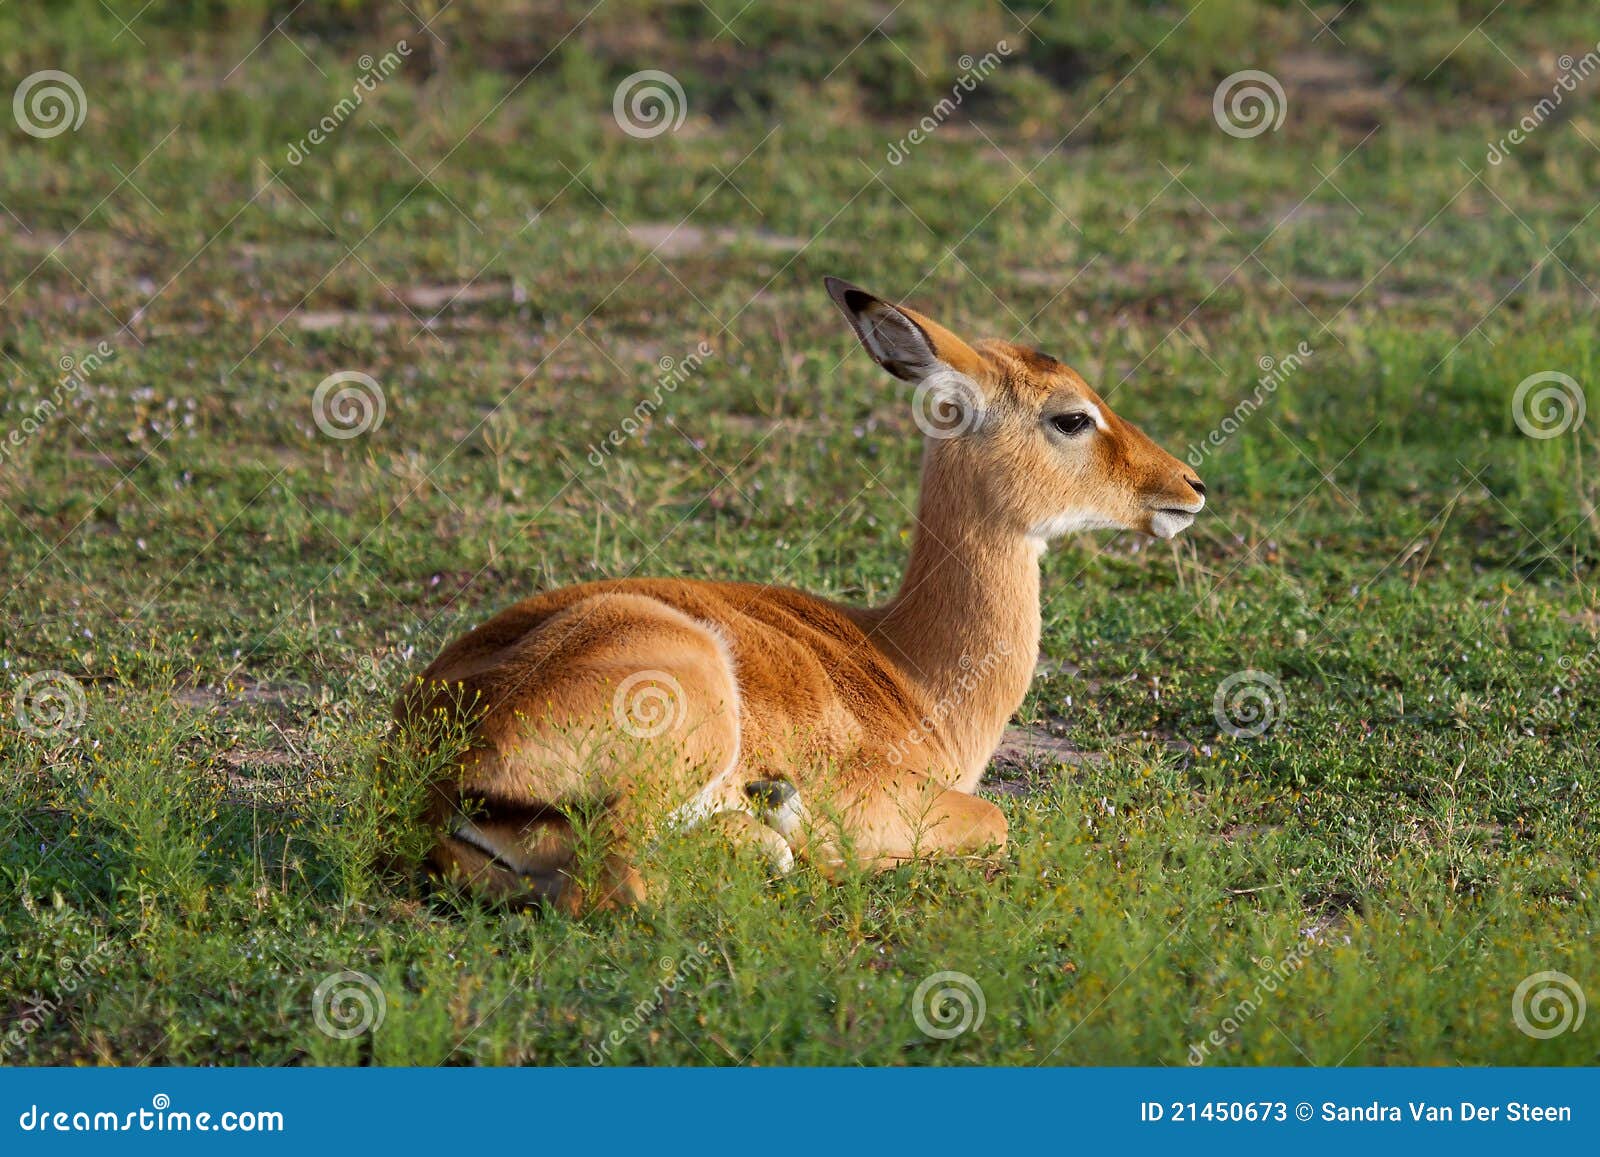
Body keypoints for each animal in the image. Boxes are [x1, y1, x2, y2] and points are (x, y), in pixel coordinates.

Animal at [396, 279, 1206, 910]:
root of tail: (439, 753)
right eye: (1071, 416)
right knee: (627, 882)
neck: (909, 670)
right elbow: (994, 821)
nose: (1190, 485)